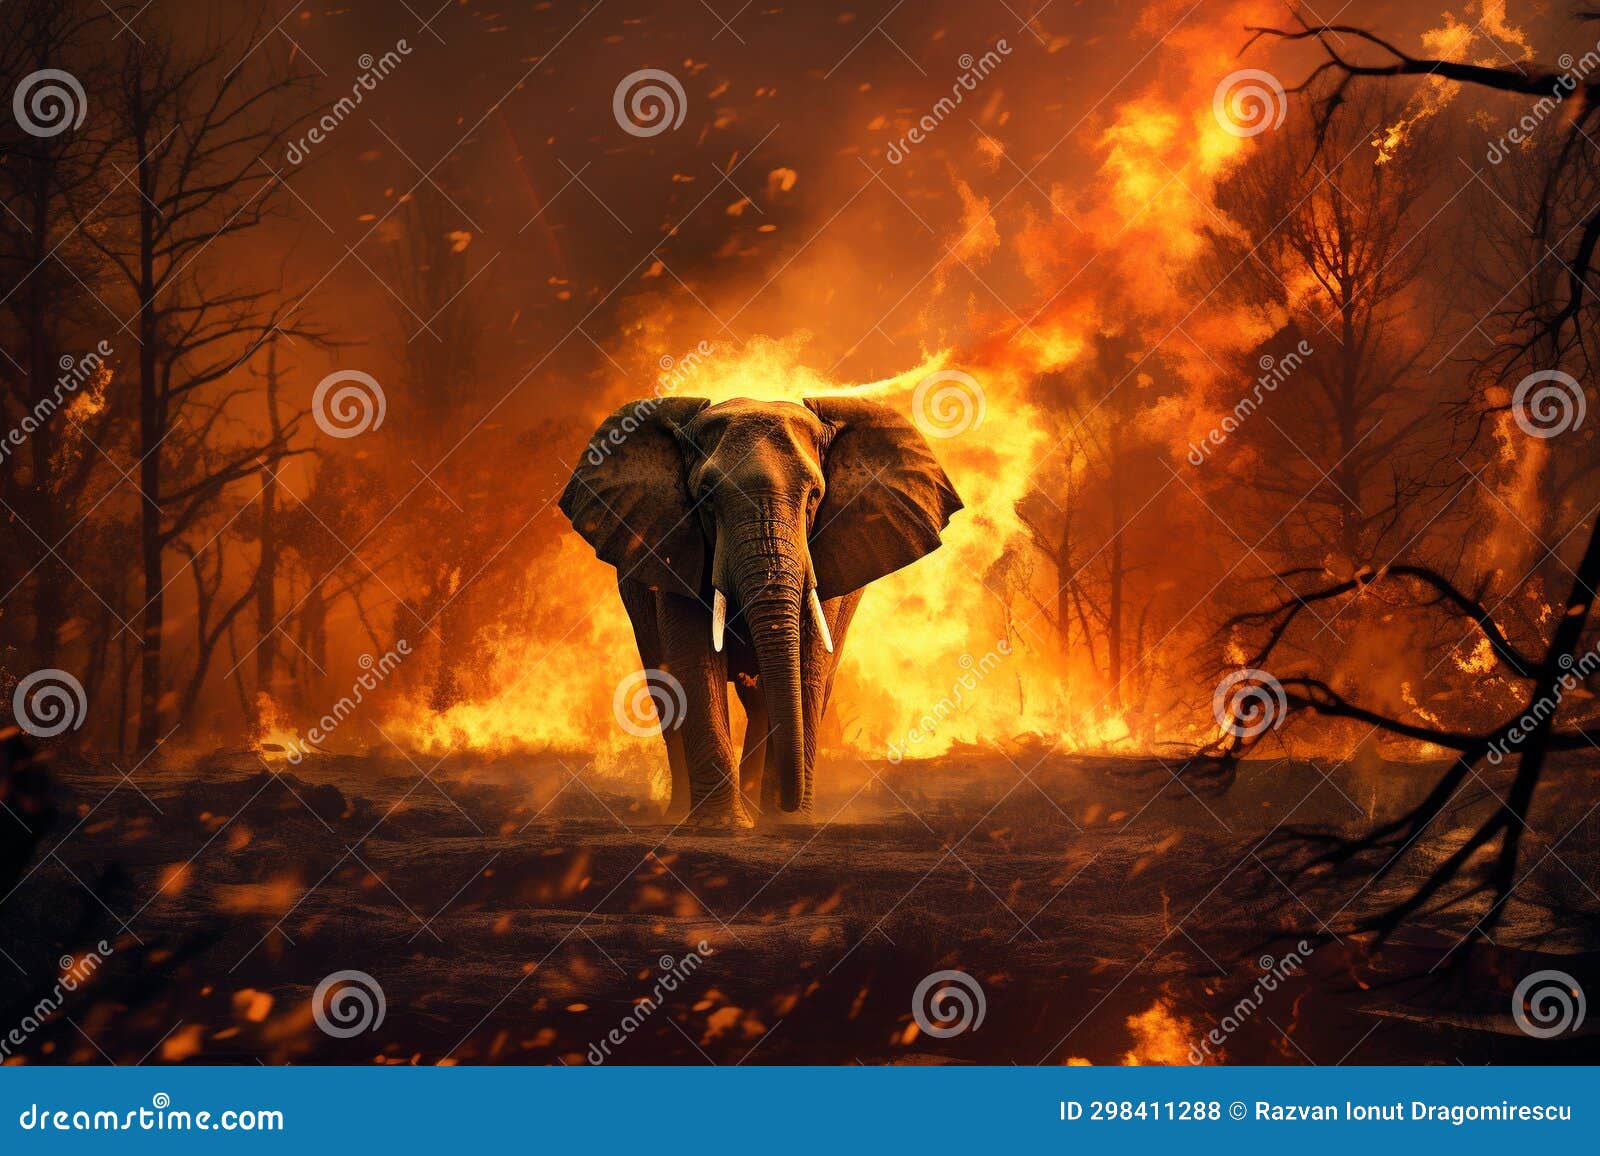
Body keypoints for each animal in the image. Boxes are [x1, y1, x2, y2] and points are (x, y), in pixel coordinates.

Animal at [559, 396, 963, 827]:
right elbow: (695, 664)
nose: (787, 803)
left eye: (814, 496)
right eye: (706, 497)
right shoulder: (675, 545)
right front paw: (722, 827)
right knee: (666, 691)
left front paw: (787, 824)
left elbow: (807, 667)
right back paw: (682, 815)